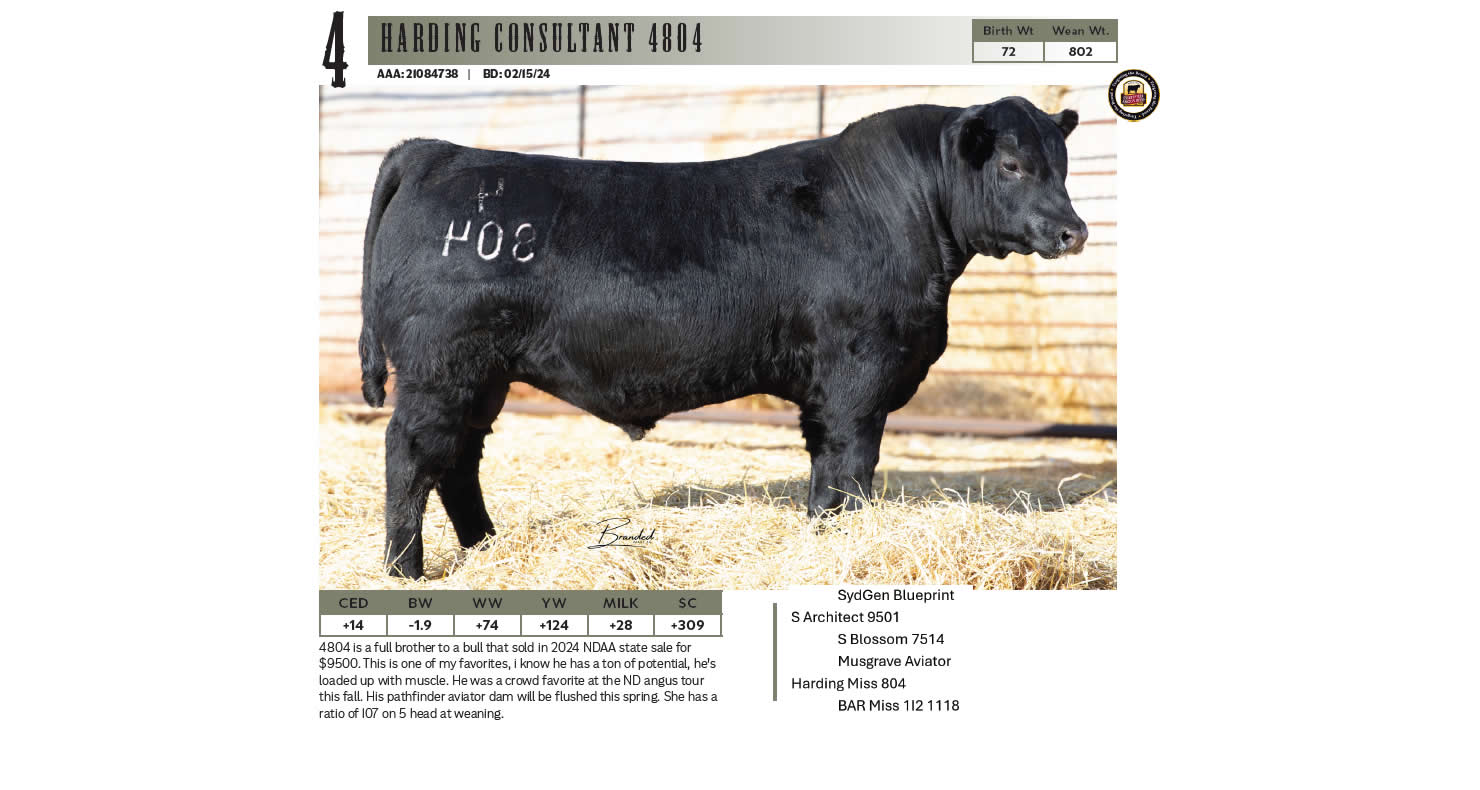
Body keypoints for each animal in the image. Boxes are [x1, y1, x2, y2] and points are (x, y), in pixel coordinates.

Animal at [359, 96, 1088, 578]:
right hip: (440, 369)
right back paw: (405, 570)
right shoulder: (857, 378)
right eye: (1012, 165)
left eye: (1061, 165)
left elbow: (825, 470)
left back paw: (486, 547)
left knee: (459, 461)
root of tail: (438, 152)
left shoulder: (829, 389)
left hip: (482, 376)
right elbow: (850, 467)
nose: (1073, 231)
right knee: (412, 455)